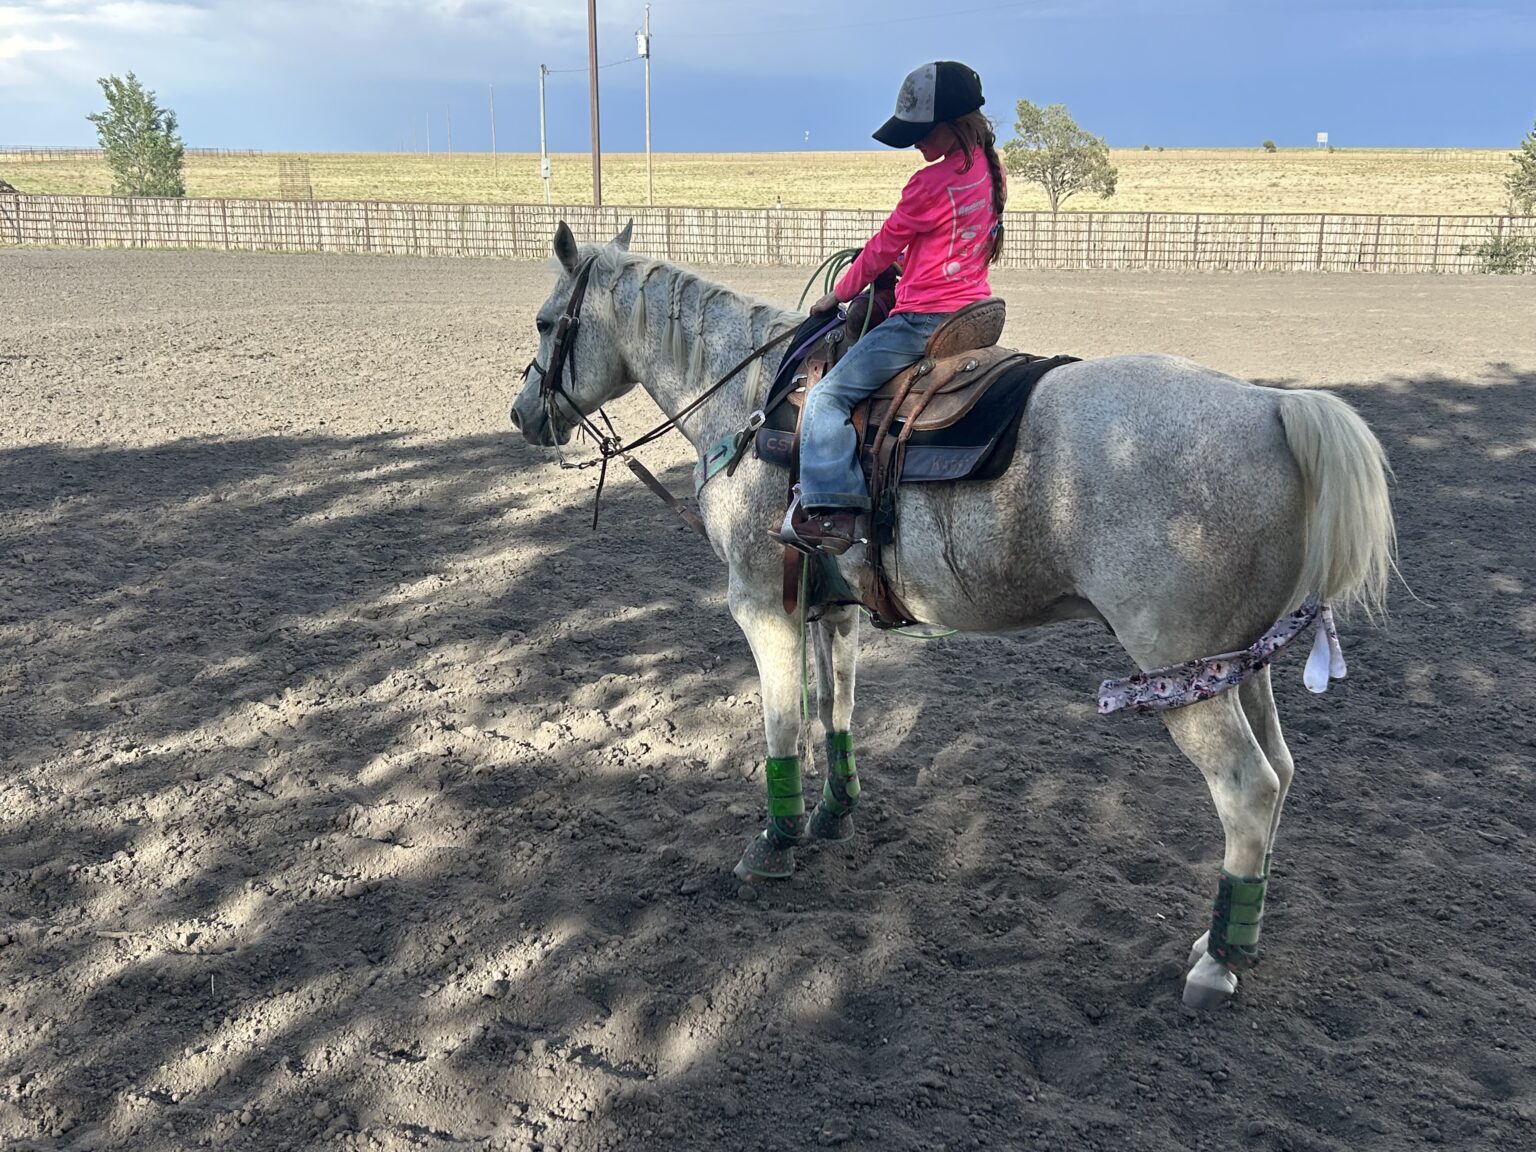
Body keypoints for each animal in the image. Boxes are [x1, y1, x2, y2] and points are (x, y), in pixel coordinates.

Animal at [509, 221, 1396, 1008]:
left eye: (549, 321)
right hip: (1240, 665)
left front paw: (776, 842)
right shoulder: (833, 610)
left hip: (1181, 673)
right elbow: (836, 710)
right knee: (1281, 772)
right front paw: (834, 813)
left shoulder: (763, 606)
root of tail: (1272, 410)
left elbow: (782, 727)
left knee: (1247, 788)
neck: (757, 405)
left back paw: (1216, 963)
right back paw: (1230, 939)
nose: (522, 416)